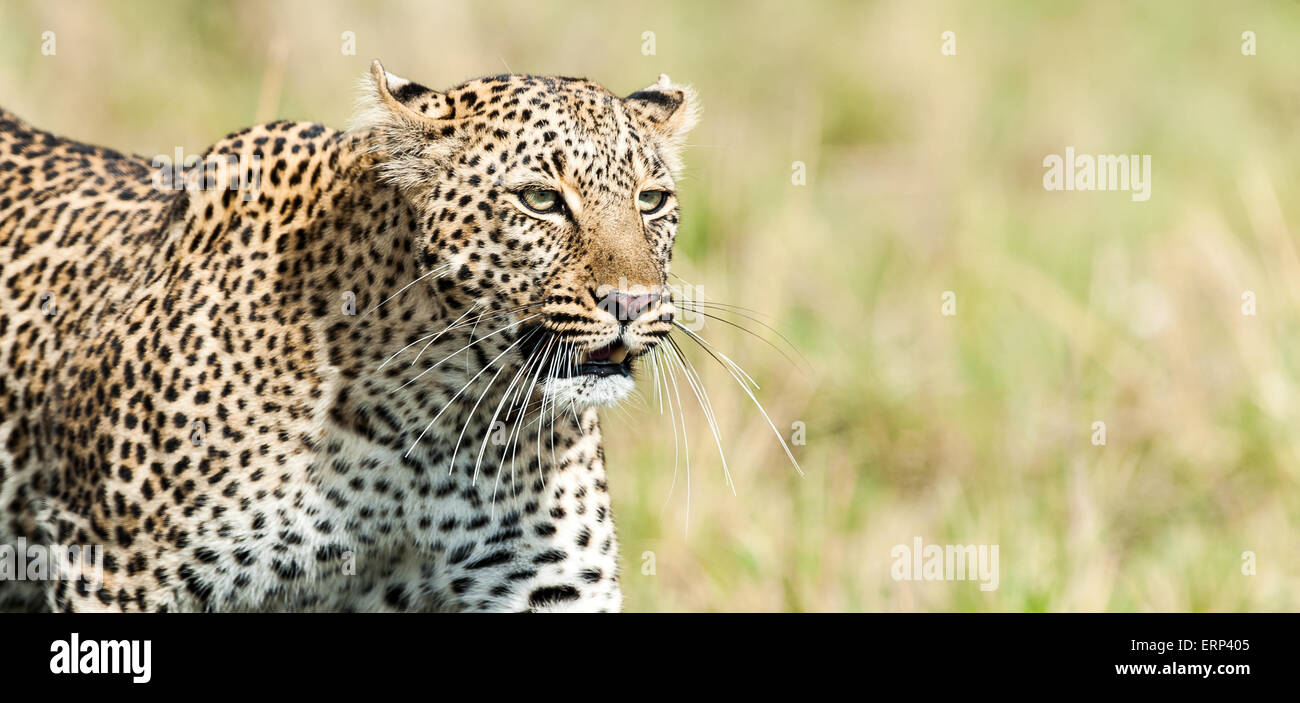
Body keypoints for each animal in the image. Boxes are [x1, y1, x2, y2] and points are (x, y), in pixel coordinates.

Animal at [0, 60, 698, 612]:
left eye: (653, 201)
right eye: (541, 200)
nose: (635, 301)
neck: (435, 418)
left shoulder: (550, 585)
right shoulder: (113, 570)